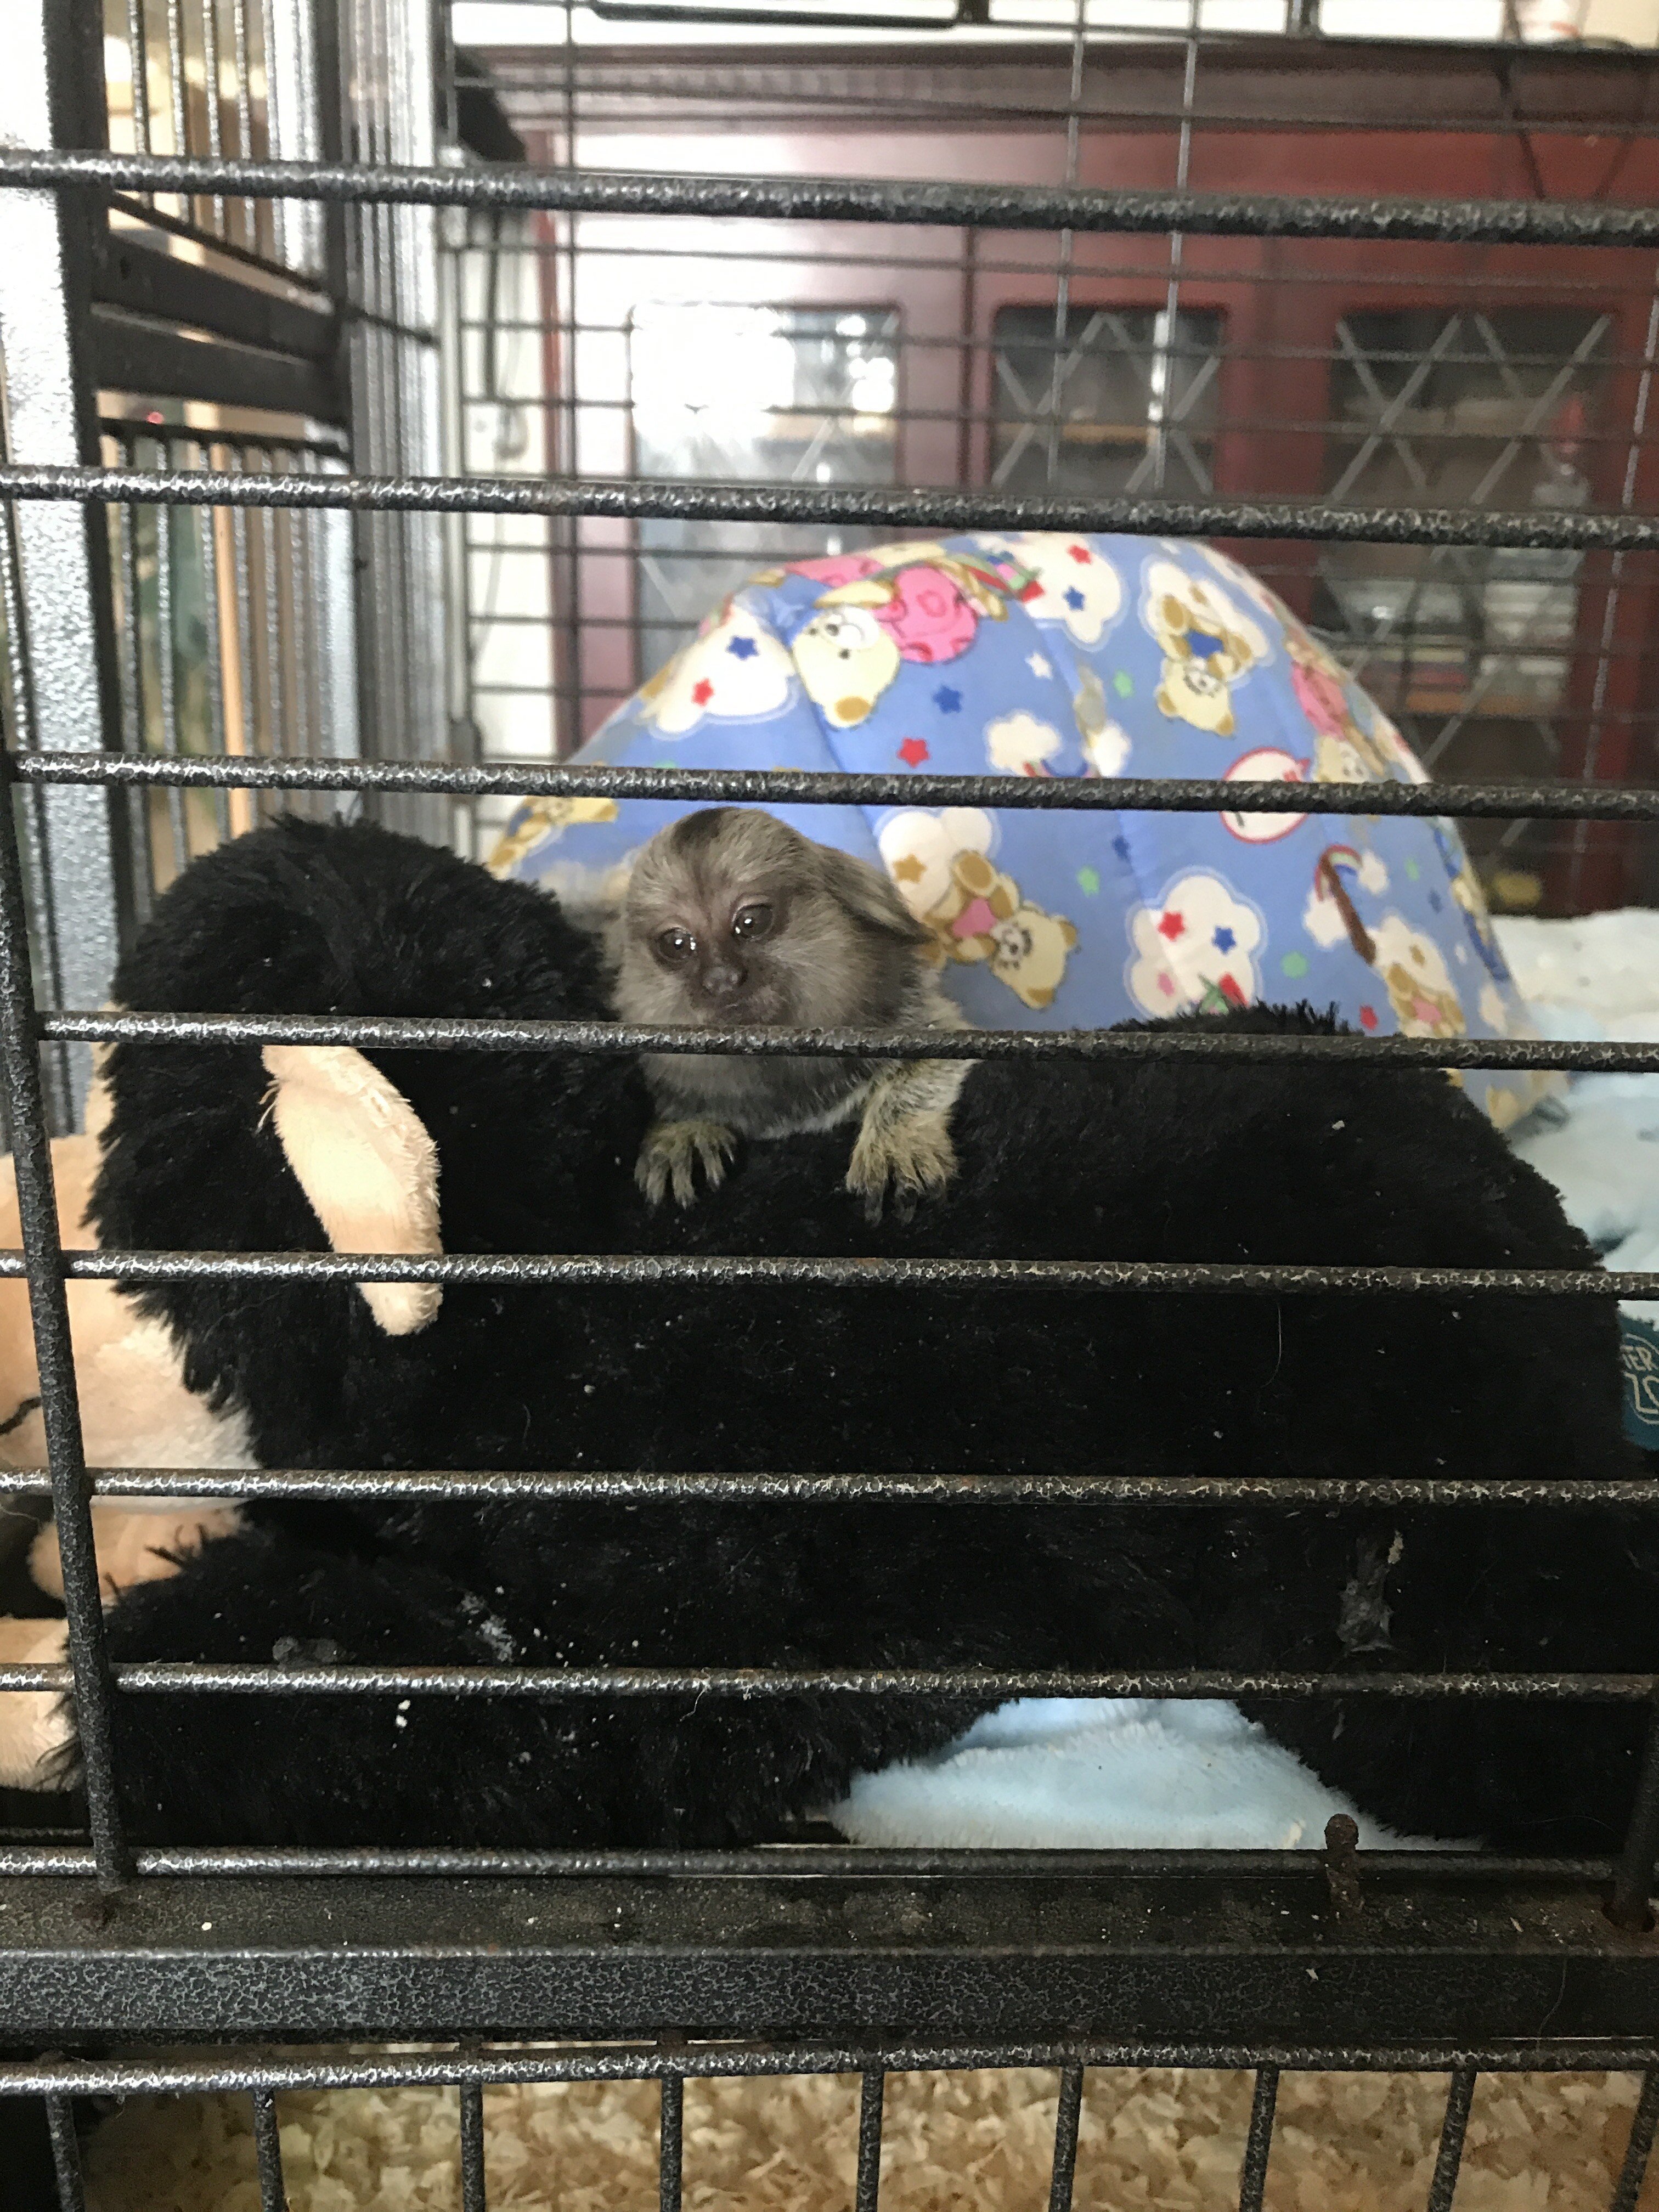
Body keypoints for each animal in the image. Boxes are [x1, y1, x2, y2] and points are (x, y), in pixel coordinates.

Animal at [609, 807, 974, 1220]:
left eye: (751, 922)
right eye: (676, 944)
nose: (721, 978)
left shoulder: (910, 1015)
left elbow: (934, 1060)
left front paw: (895, 1142)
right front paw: (681, 1131)